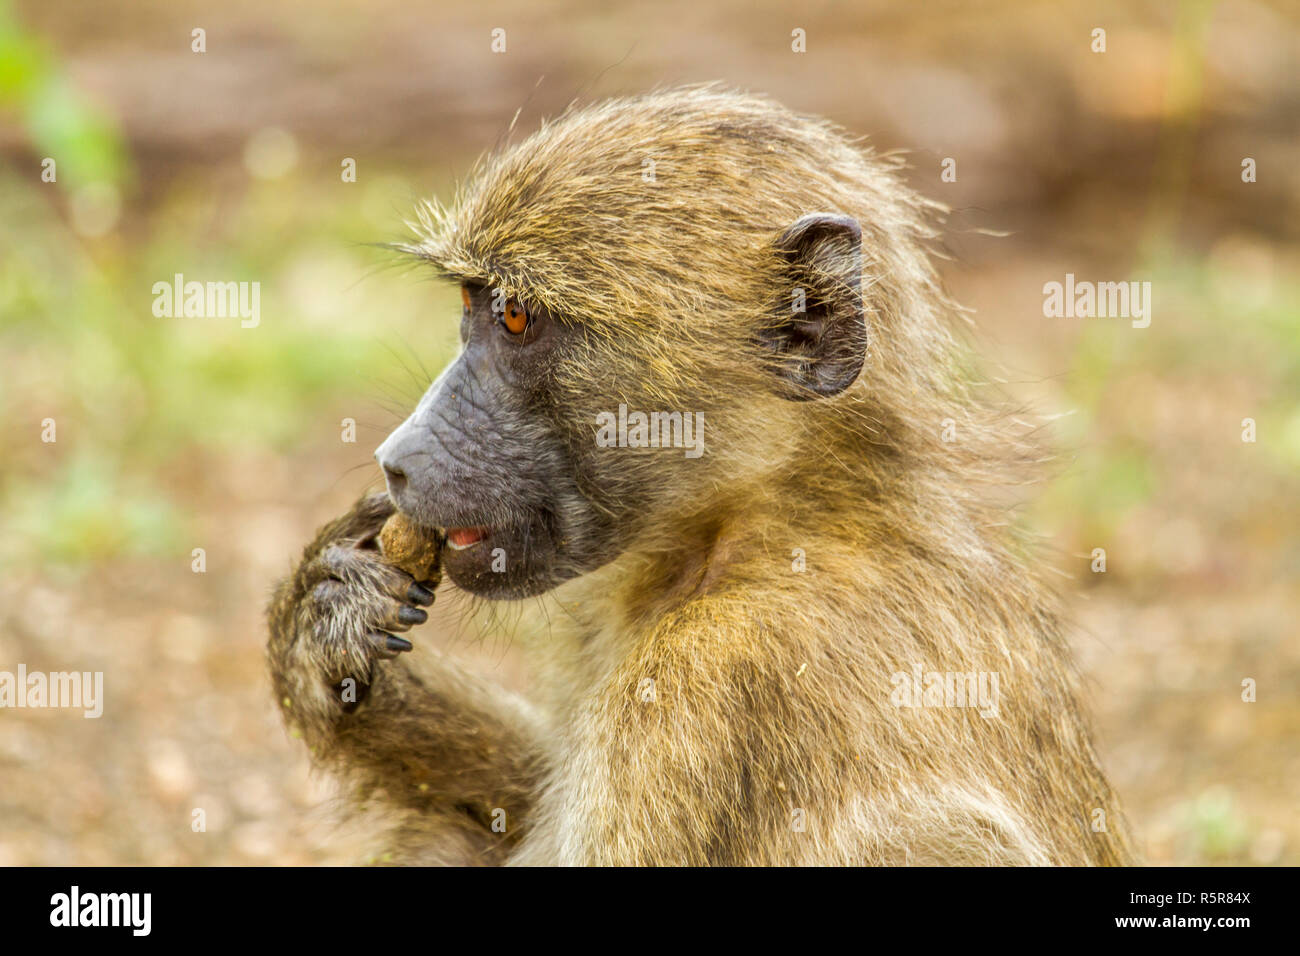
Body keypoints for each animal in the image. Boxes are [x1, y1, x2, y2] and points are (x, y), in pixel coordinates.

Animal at [266, 84, 1135, 866]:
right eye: (474, 306)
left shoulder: (703, 679)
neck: (768, 522)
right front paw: (324, 629)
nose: (399, 459)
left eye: (515, 317)